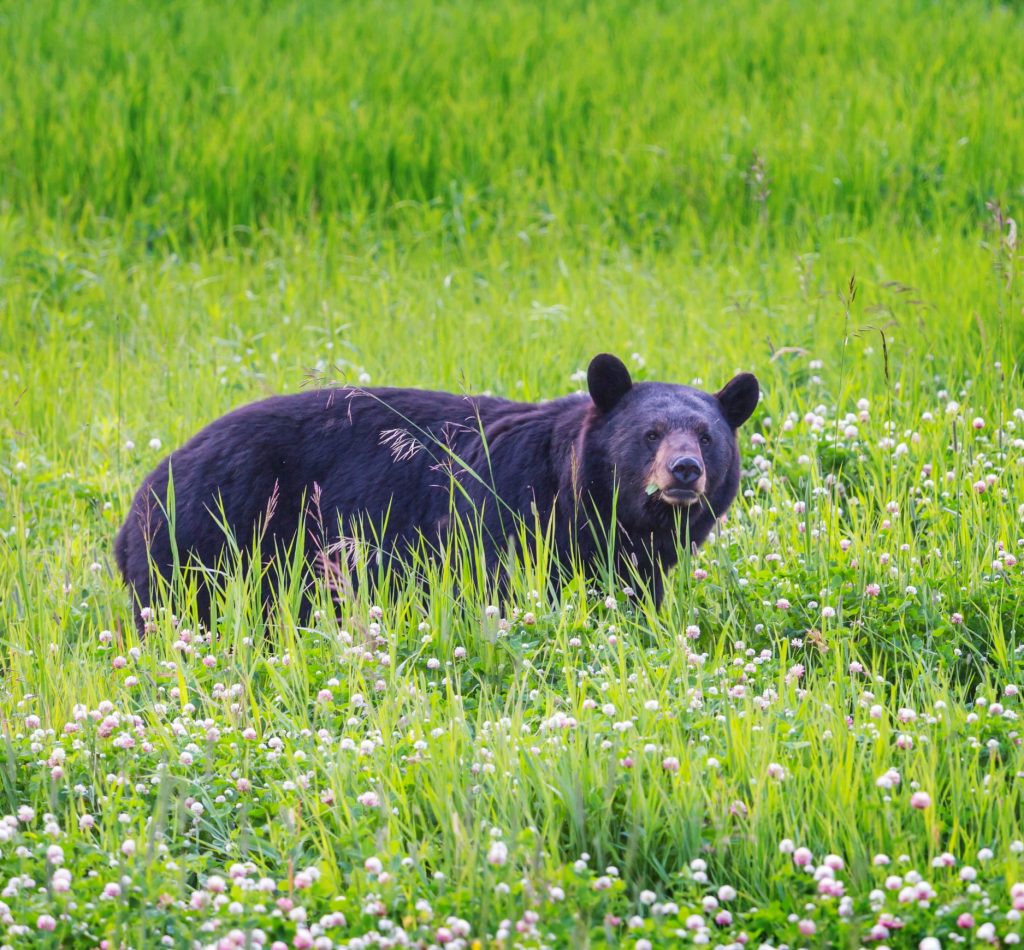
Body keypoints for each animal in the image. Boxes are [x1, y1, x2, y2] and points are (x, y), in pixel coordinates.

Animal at [115, 353, 759, 629]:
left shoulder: (633, 561)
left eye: (707, 436)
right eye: (650, 434)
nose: (684, 470)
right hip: (207, 537)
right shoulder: (504, 517)